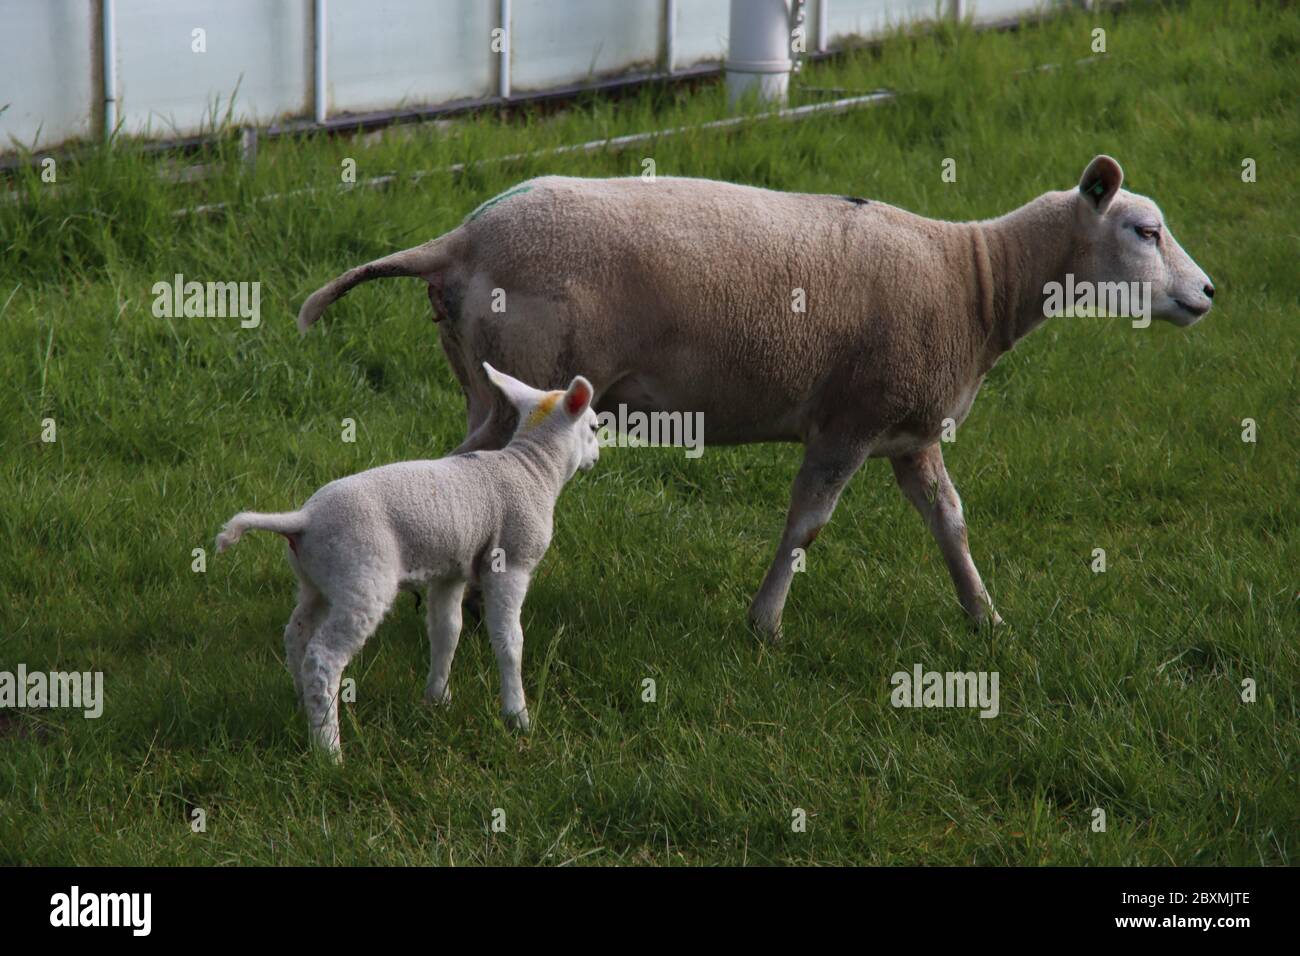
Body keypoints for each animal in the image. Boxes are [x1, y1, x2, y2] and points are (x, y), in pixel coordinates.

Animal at [216, 364, 600, 761]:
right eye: (594, 427)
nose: (598, 457)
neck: (533, 468)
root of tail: (303, 518)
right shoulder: (512, 563)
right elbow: (509, 640)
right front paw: (517, 716)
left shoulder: (451, 572)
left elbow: (447, 632)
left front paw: (438, 699)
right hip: (362, 576)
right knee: (322, 658)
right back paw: (329, 750)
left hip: (317, 580)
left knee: (297, 635)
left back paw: (301, 704)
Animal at [296, 155, 1215, 639]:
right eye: (1145, 231)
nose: (1207, 294)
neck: (977, 282)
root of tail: (461, 238)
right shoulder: (848, 419)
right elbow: (807, 524)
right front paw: (765, 624)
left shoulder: (911, 432)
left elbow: (949, 521)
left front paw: (983, 614)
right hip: (517, 386)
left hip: (483, 386)